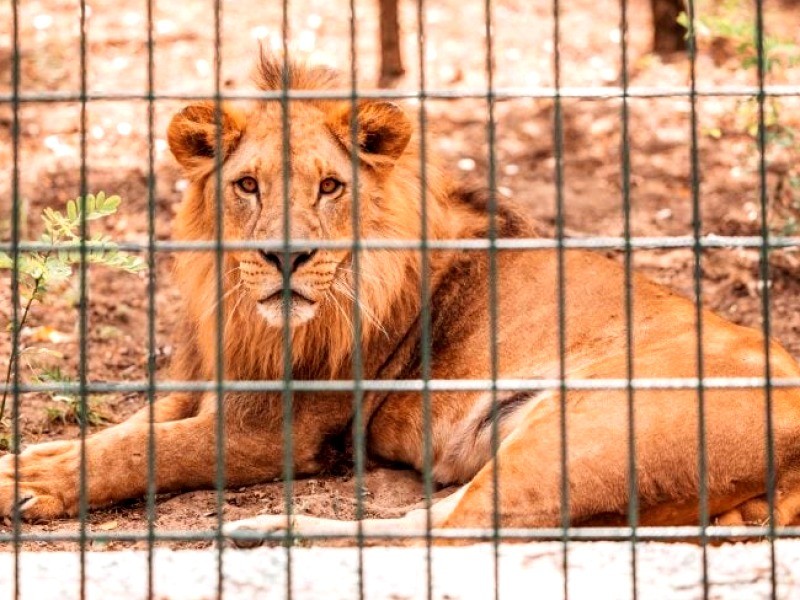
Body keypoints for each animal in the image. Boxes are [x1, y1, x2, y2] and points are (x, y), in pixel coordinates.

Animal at [2, 54, 800, 544]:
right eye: (248, 184)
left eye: (330, 186)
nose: (286, 257)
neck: (248, 318)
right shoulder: (208, 383)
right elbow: (127, 430)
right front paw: (34, 455)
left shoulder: (277, 428)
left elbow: (152, 450)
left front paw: (34, 480)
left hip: (587, 425)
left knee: (456, 529)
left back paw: (272, 532)